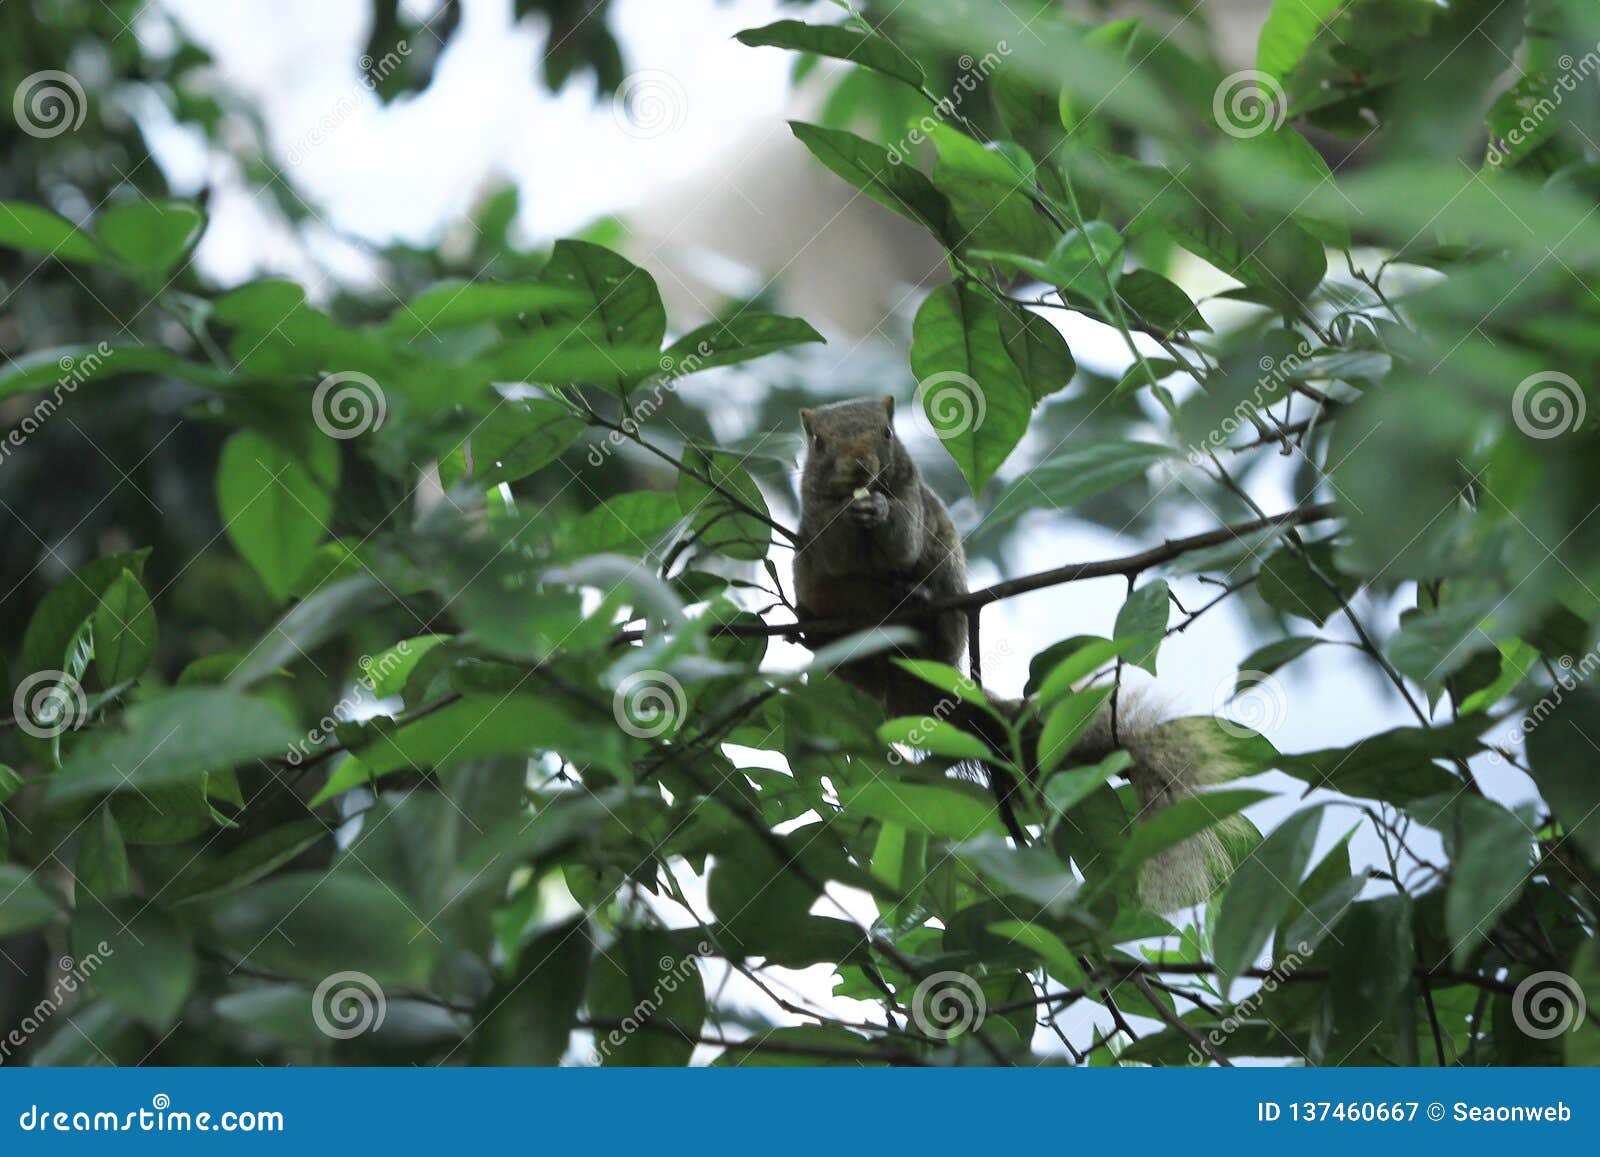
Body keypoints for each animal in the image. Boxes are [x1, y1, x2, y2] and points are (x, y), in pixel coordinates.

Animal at [793, 395, 1243, 911]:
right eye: (818, 442)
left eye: (887, 433)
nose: (860, 466)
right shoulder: (814, 519)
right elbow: (833, 550)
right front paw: (848, 514)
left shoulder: (914, 503)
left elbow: (902, 541)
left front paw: (879, 509)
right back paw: (812, 630)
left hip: (946, 589)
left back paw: (916, 602)